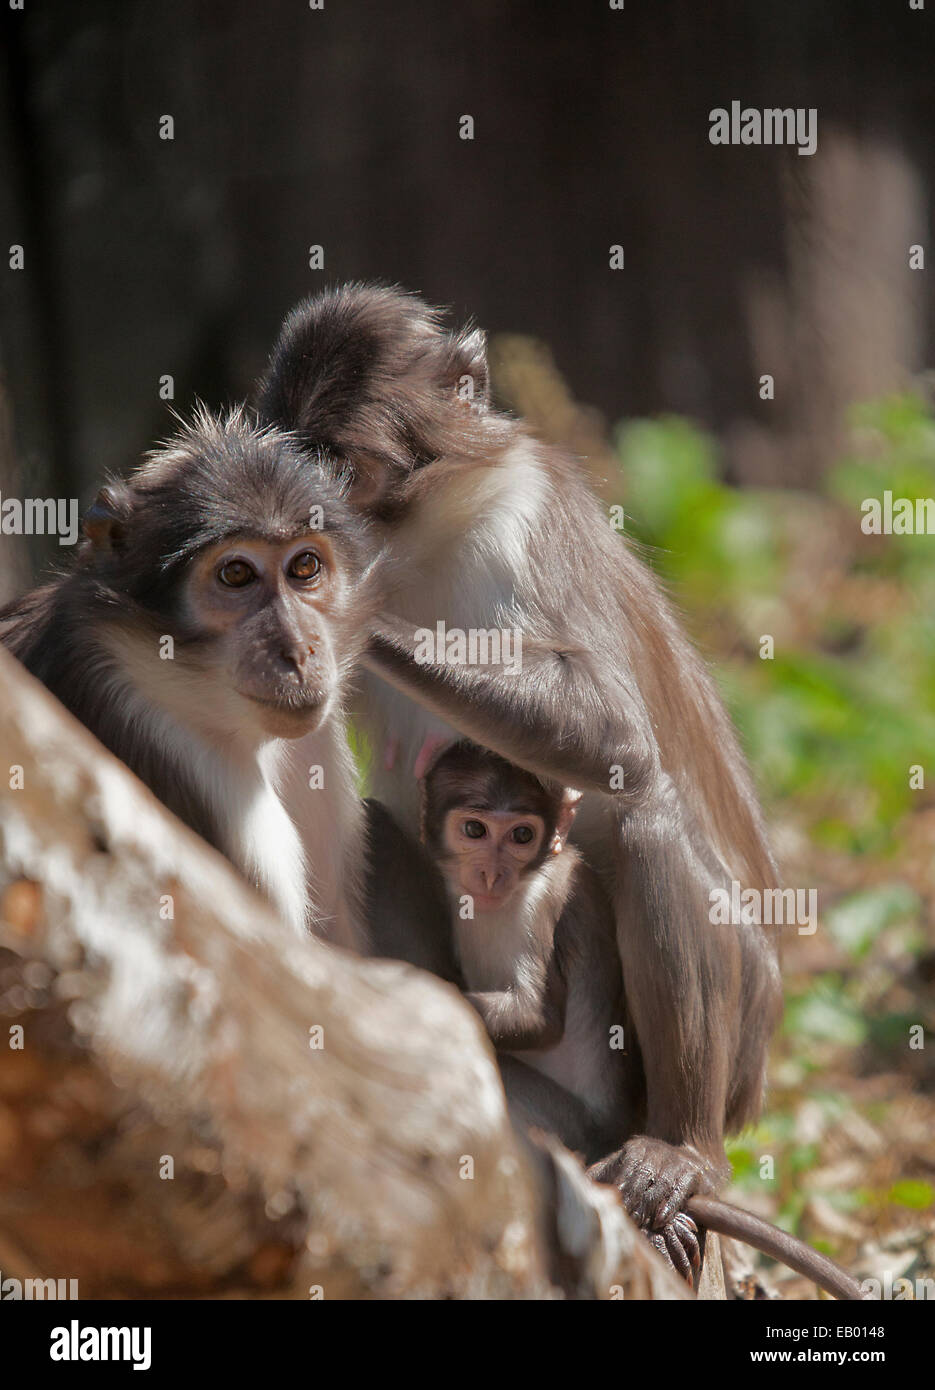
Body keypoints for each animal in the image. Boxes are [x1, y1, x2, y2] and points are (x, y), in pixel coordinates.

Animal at [256, 283, 784, 1273]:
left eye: (345, 470)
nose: (312, 538)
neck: (414, 538)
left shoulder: (521, 514)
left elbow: (617, 735)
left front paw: (352, 619)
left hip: (738, 1032)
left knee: (648, 815)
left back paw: (682, 1149)